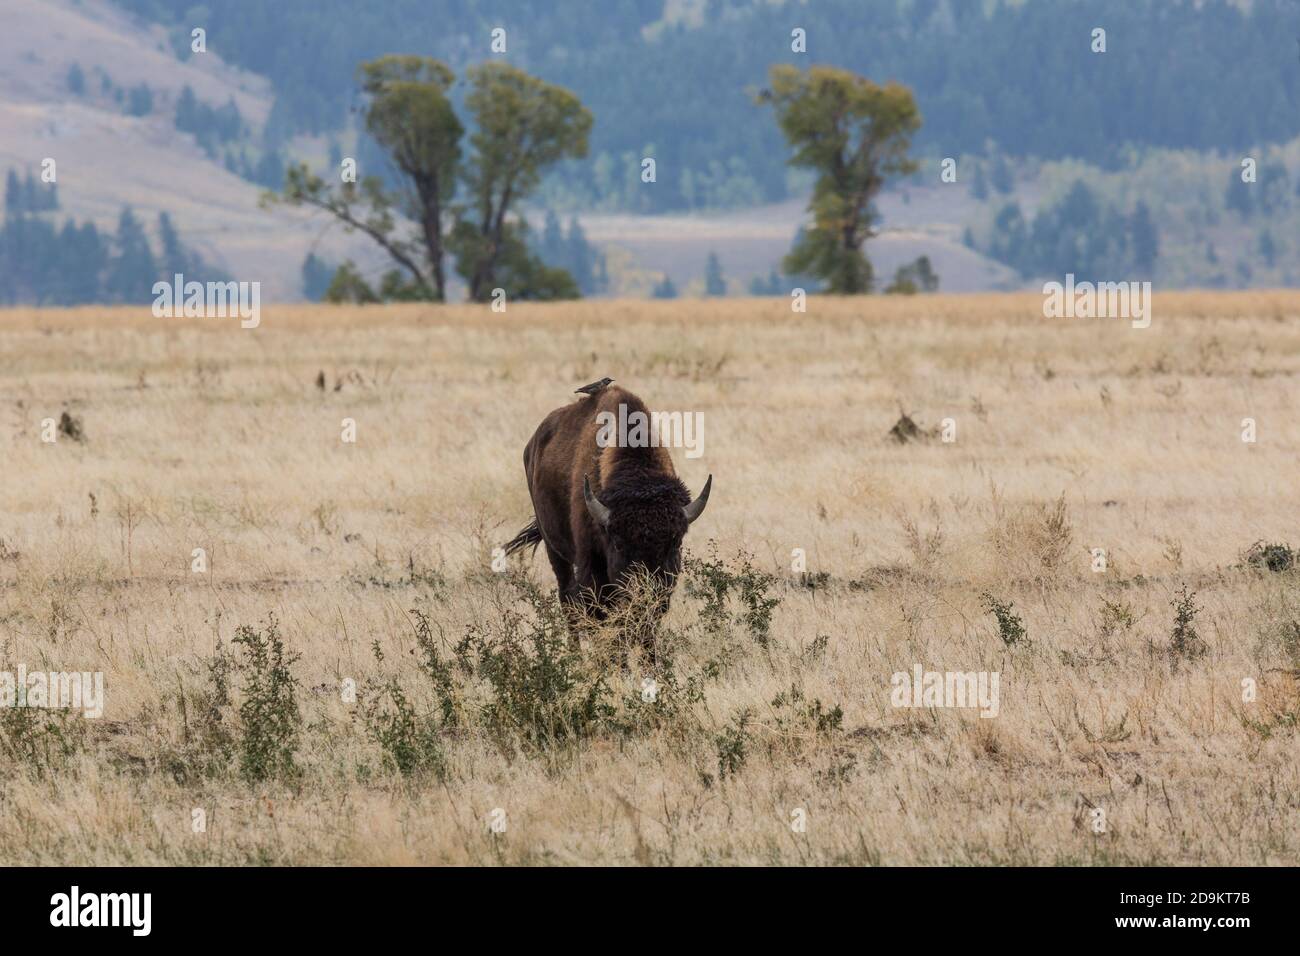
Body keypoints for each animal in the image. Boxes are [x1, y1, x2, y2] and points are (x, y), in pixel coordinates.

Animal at [504, 383, 712, 649]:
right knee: (568, 602)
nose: (643, 595)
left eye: (675, 543)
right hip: (554, 549)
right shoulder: (593, 571)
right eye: (619, 544)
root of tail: (532, 446)